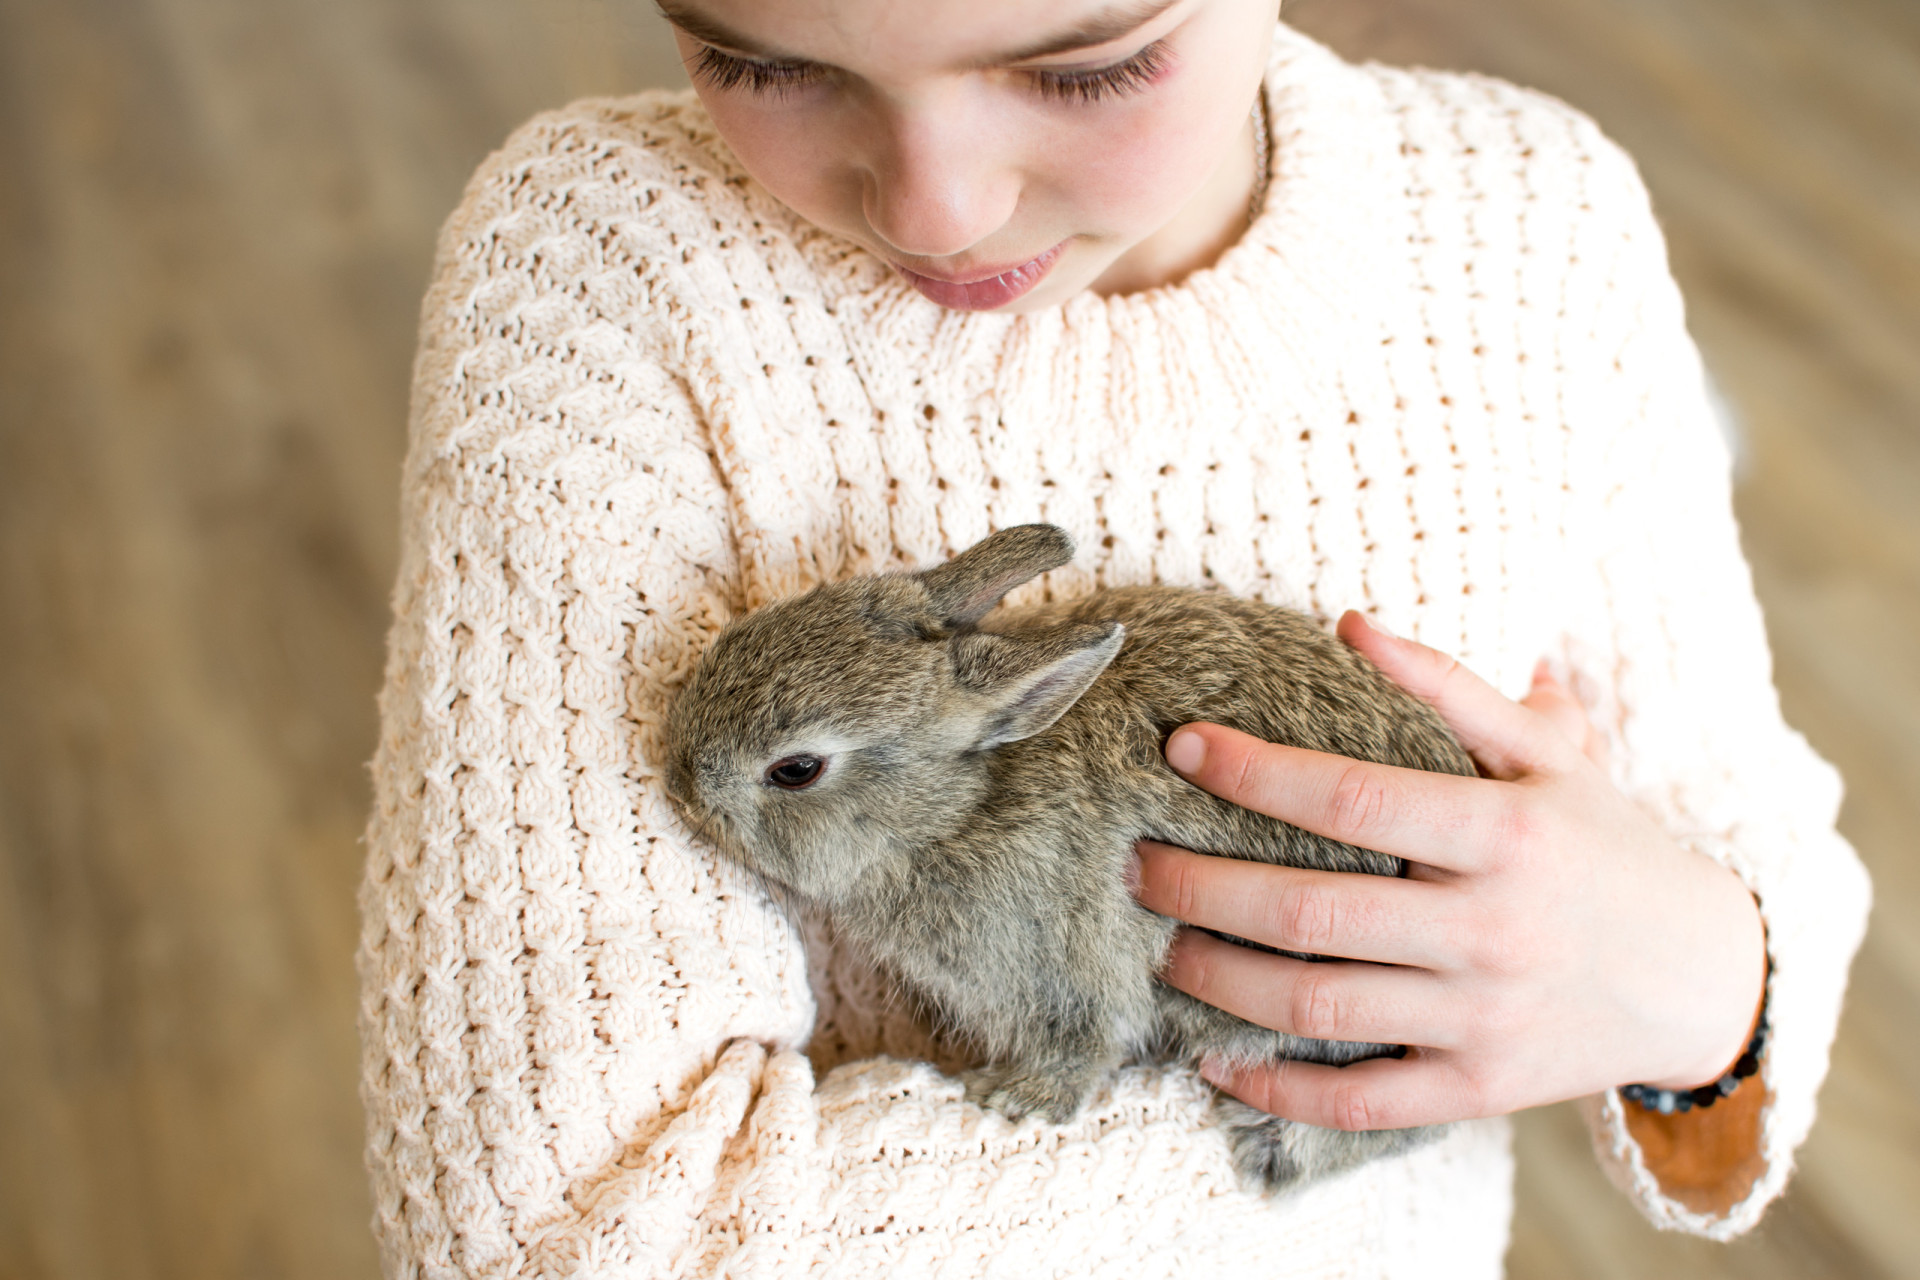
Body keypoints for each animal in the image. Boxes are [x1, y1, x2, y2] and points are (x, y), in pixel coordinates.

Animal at [663, 524, 1477, 1191]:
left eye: (796, 770)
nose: (678, 785)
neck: (953, 810)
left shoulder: (1063, 961)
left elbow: (1084, 1040)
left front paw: (1014, 1100)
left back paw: (1271, 1149)